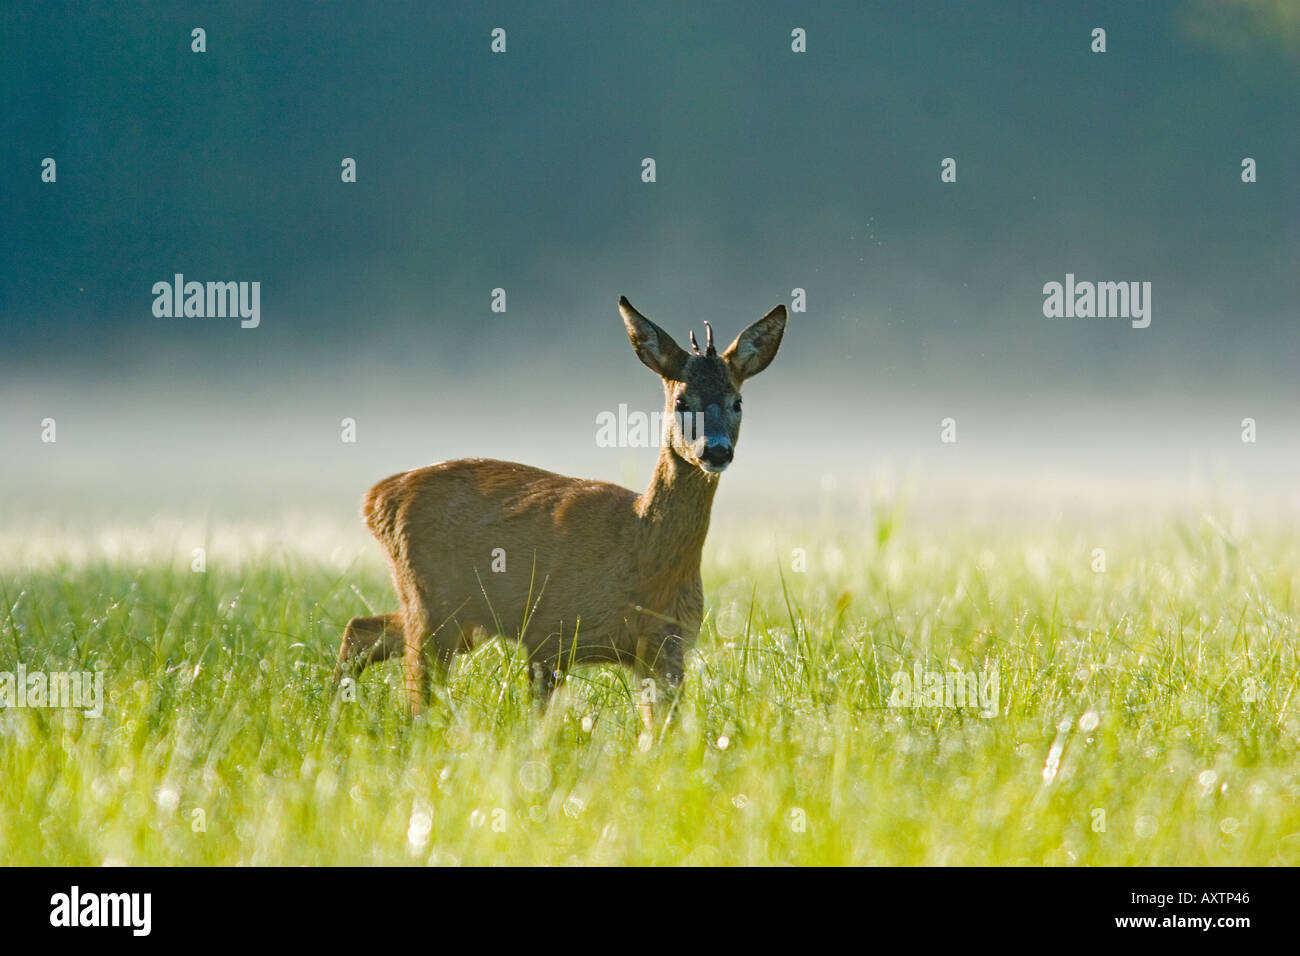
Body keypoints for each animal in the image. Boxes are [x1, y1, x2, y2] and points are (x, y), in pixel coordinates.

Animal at [334, 296, 787, 720]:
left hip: (457, 619)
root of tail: (375, 498)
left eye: (737, 402)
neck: (639, 550)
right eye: (681, 400)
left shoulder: (666, 649)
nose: (716, 451)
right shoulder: (549, 631)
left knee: (363, 630)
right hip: (432, 602)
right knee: (416, 691)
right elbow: (539, 721)